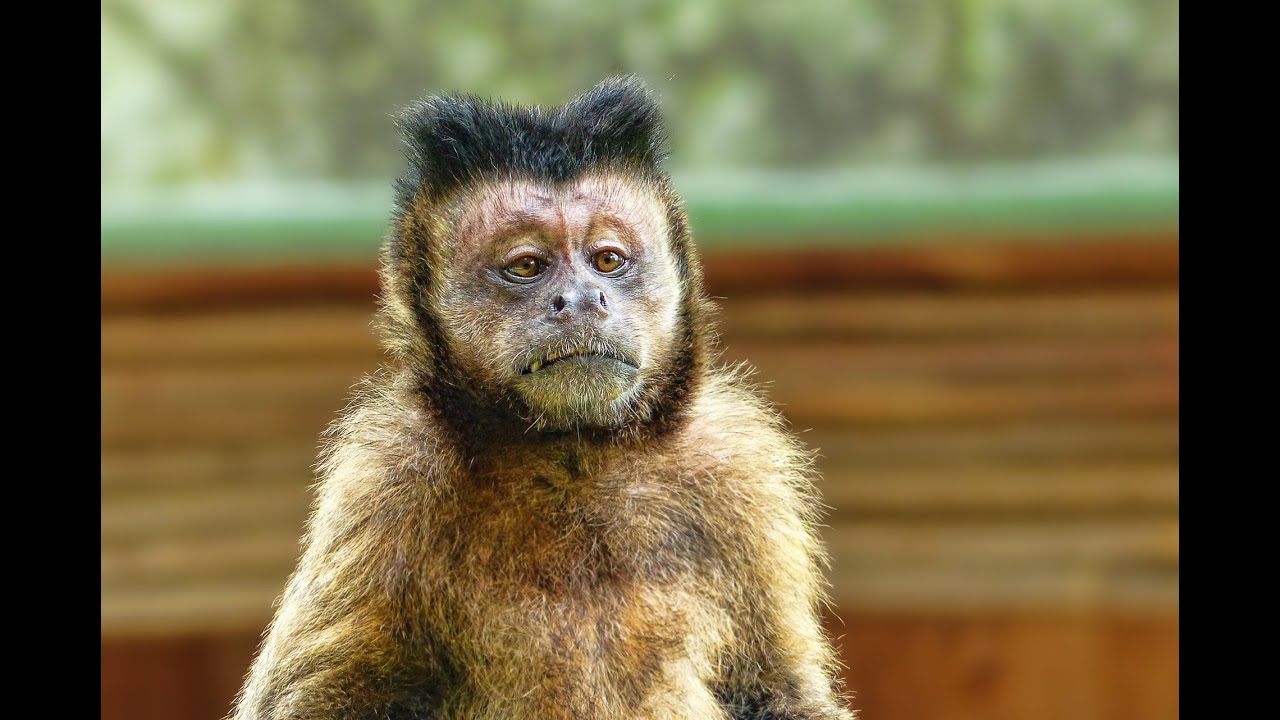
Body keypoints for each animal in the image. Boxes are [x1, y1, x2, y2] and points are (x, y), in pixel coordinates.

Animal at [229, 76, 855, 720]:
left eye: (608, 260)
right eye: (527, 266)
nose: (580, 298)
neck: (573, 456)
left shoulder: (737, 472)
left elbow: (778, 693)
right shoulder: (386, 481)